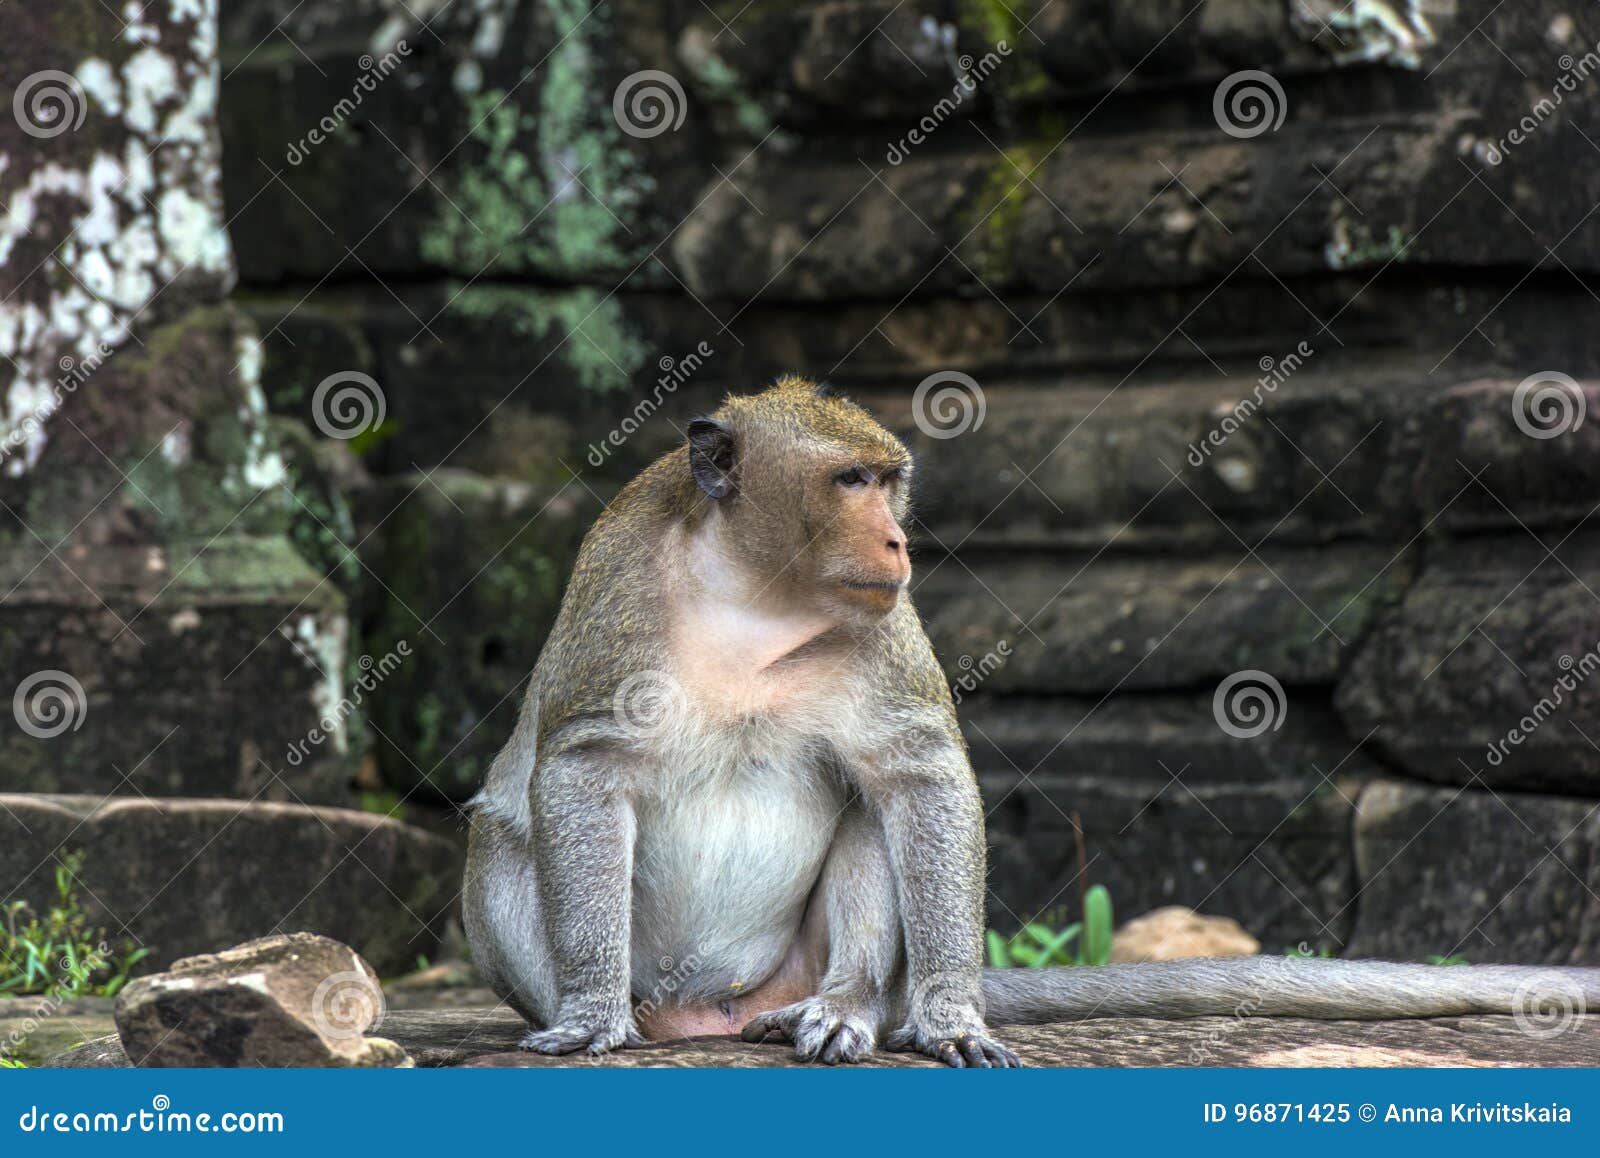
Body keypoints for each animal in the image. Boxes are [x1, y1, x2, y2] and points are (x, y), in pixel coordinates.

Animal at [465, 375, 1600, 1067]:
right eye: (848, 480)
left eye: (889, 483)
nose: (896, 540)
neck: (756, 594)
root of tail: (711, 1017)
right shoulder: (615, 595)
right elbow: (578, 770)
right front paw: (591, 1013)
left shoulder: (888, 625)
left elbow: (921, 777)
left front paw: (951, 1012)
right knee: (500, 844)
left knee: (871, 810)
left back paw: (840, 1007)